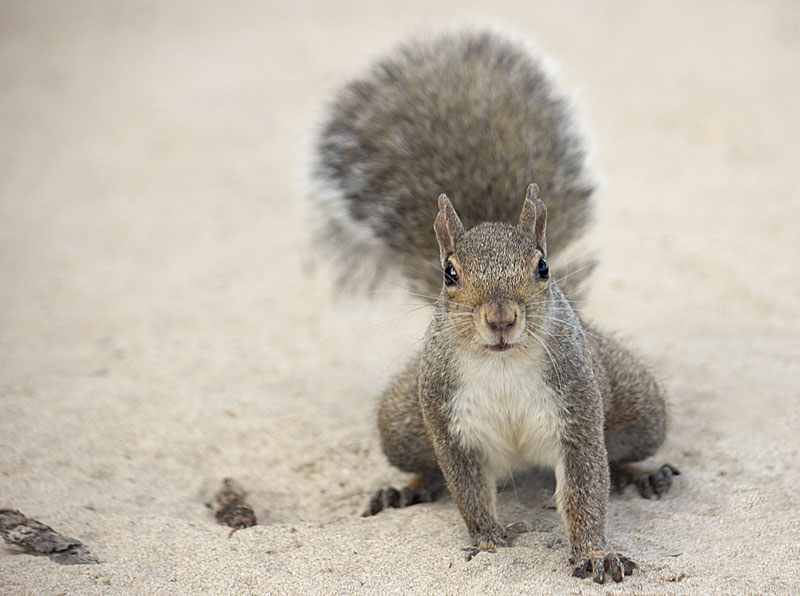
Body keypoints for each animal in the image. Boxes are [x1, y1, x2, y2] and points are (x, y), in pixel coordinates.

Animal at [308, 28, 678, 584]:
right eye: (449, 273)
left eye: (543, 267)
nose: (501, 319)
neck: (501, 364)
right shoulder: (448, 422)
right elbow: (468, 492)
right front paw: (486, 543)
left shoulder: (577, 411)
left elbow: (587, 487)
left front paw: (594, 553)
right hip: (401, 421)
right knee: (424, 466)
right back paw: (405, 488)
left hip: (639, 405)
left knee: (623, 452)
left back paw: (646, 474)